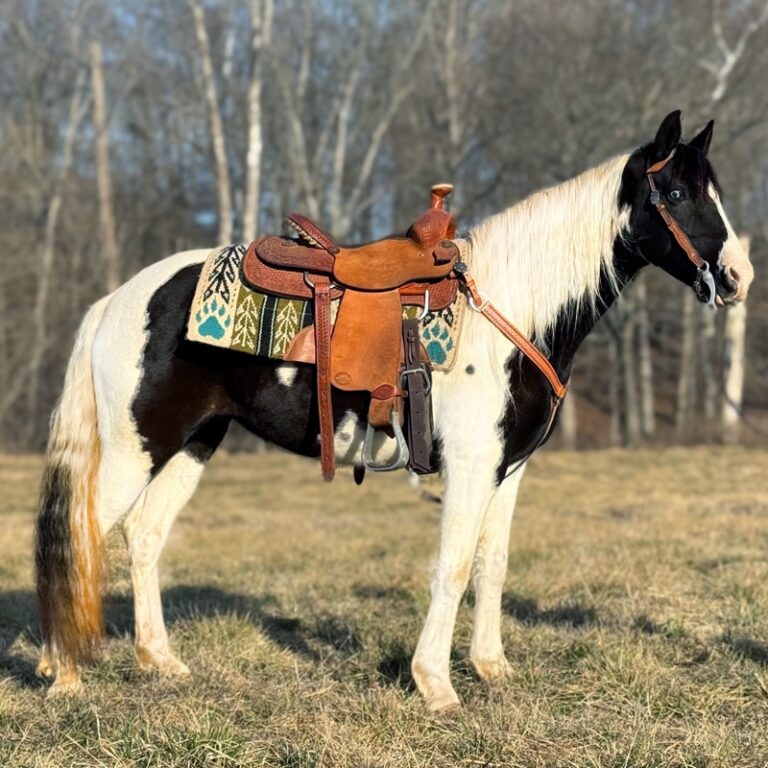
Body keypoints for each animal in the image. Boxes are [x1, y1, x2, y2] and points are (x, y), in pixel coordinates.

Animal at [35, 111, 753, 710]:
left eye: (714, 190)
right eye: (678, 195)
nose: (738, 277)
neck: (510, 313)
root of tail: (117, 300)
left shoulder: (509, 470)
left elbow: (493, 565)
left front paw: (492, 668)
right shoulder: (470, 468)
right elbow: (454, 567)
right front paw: (436, 685)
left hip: (194, 441)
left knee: (143, 535)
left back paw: (159, 662)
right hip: (137, 447)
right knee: (80, 535)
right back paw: (64, 673)